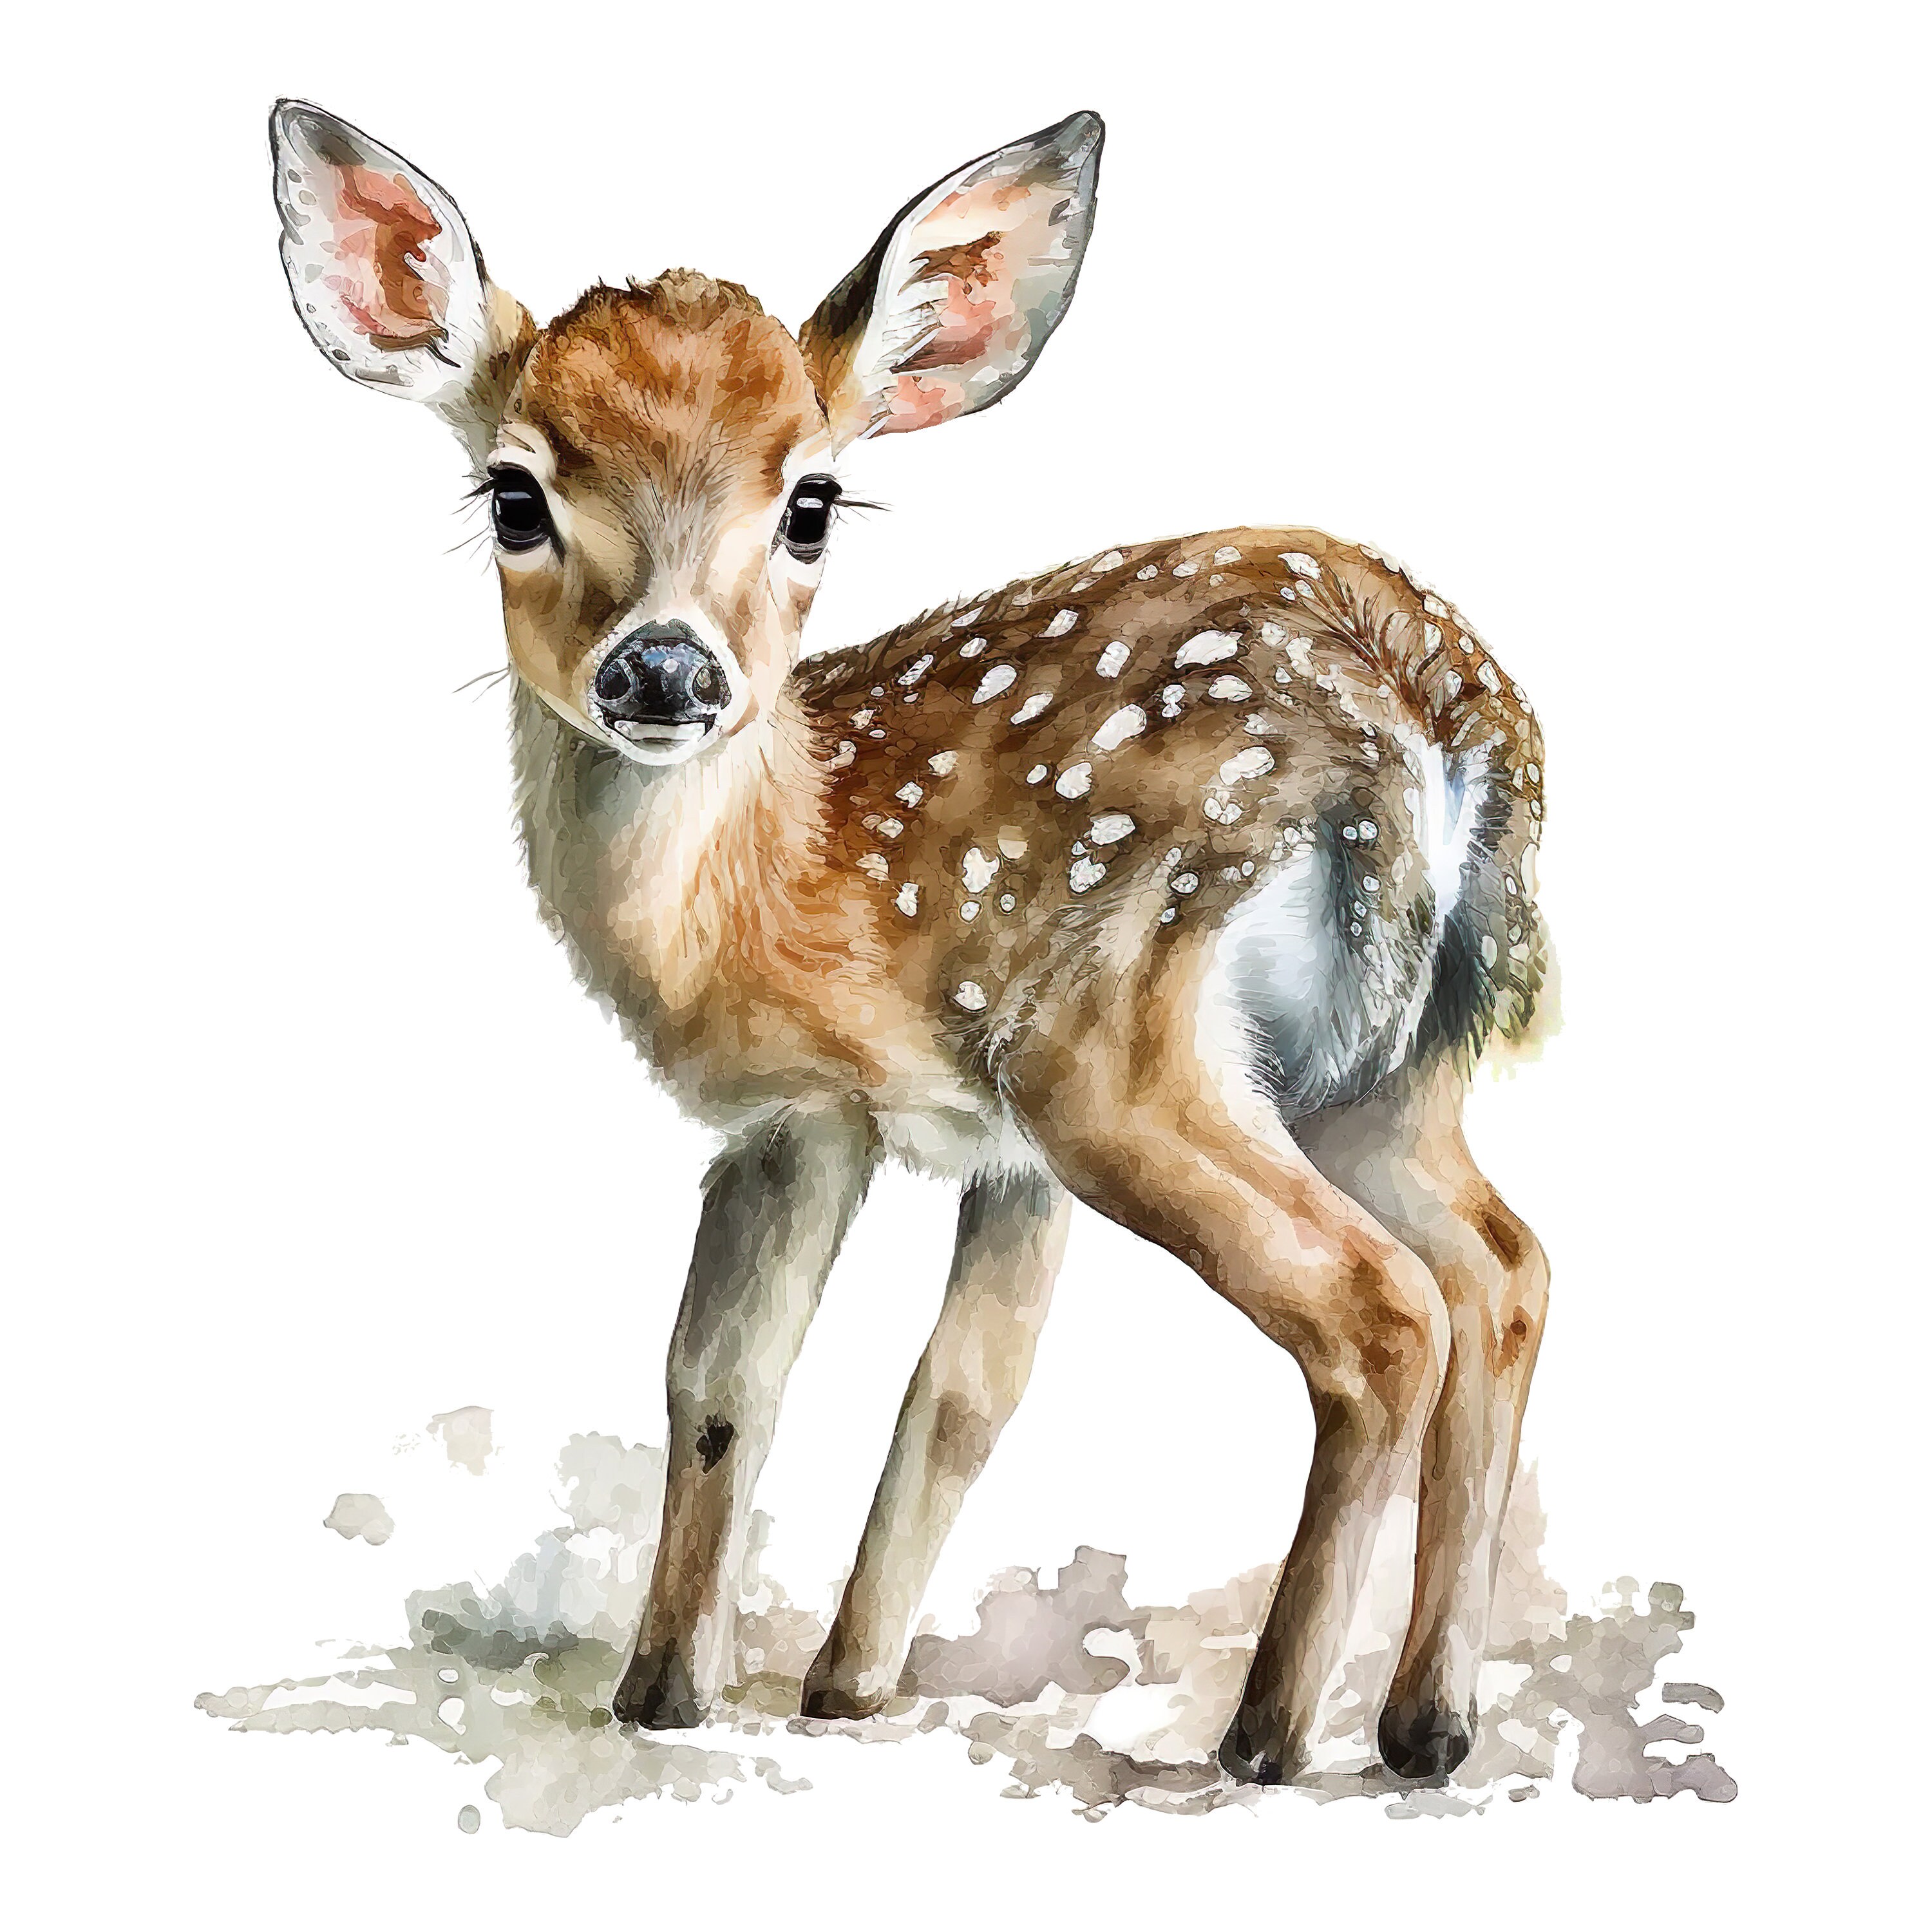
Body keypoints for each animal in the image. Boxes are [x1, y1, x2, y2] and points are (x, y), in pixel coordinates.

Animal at [269, 99, 1552, 1787]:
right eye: (512, 493)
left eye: (810, 499)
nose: (664, 670)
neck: (768, 877)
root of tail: (1420, 710)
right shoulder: (987, 1153)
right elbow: (937, 1389)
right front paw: (838, 1684)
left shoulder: (817, 1104)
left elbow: (730, 1373)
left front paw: (668, 1694)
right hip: (1385, 1066)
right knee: (1503, 1271)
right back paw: (1427, 1721)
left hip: (1123, 1039)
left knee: (1382, 1308)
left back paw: (1268, 1735)